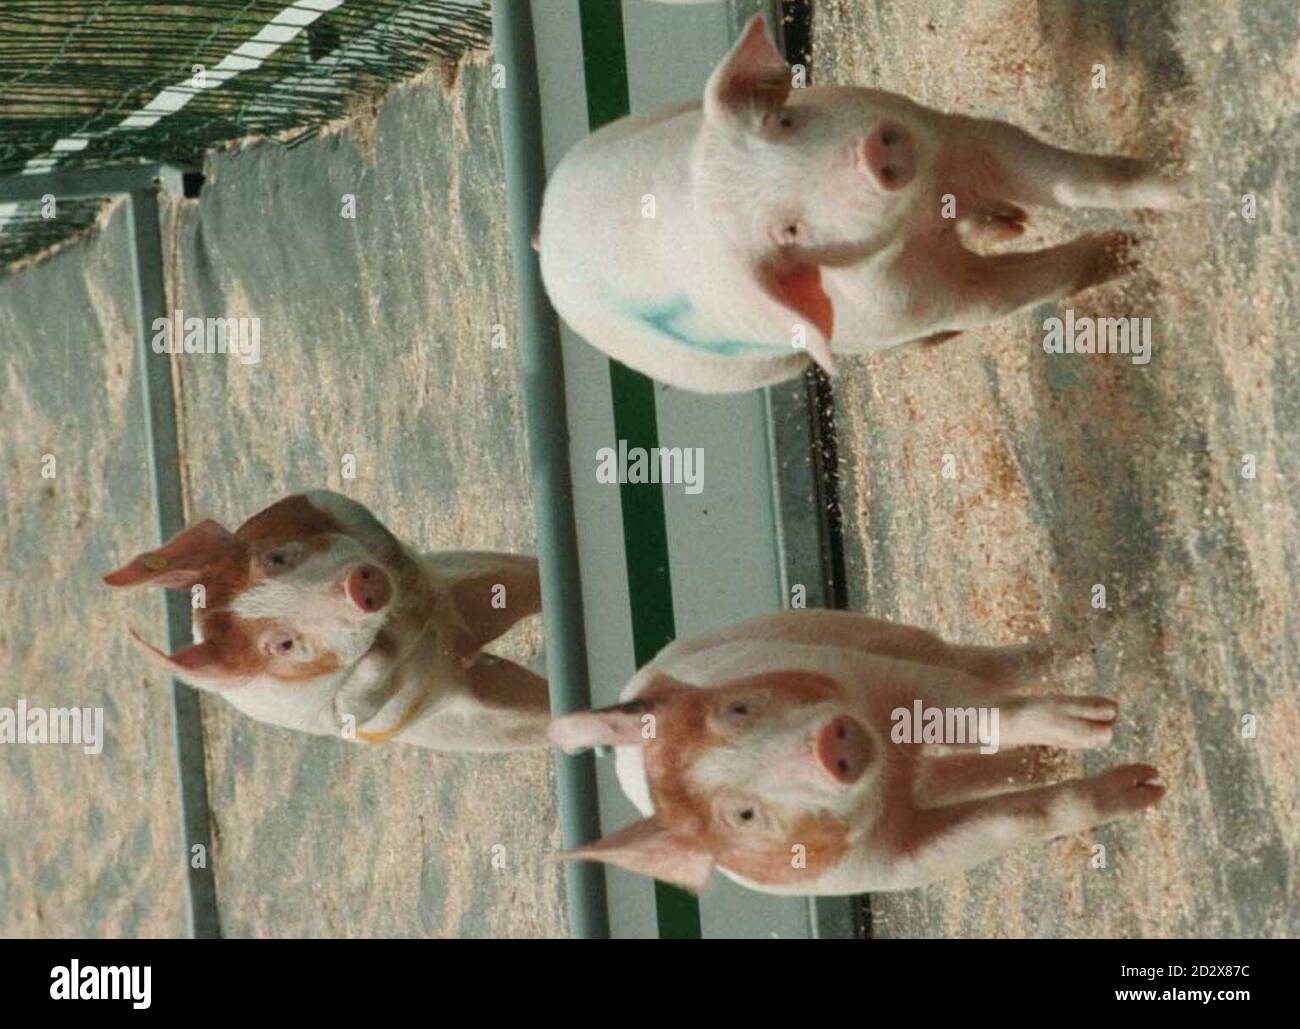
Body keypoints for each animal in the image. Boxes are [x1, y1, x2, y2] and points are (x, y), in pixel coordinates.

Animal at [104, 491, 549, 751]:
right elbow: (354, 704)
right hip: (460, 722)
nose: (361, 585)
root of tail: (464, 651)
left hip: (471, 574)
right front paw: (379, 651)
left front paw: (398, 571)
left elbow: (347, 511)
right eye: (283, 645)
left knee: (521, 579)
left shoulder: (306, 506)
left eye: (277, 558)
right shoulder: (315, 711)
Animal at [538, 15, 1182, 393]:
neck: (919, 220)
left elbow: (1074, 180)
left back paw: (1007, 224)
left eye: (785, 121)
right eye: (790, 231)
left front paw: (1176, 182)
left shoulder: (954, 136)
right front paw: (1129, 251)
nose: (873, 151)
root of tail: (543, 243)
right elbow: (1003, 295)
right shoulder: (904, 301)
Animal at [549, 610, 1164, 894]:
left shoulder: (864, 675)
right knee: (969, 771)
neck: (884, 770)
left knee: (970, 663)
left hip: (835, 628)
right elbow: (1005, 826)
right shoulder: (882, 864)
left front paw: (1105, 733)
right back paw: (1045, 761)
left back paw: (1091, 646)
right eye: (743, 815)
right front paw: (1143, 783)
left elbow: (974, 710)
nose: (830, 742)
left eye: (738, 709)